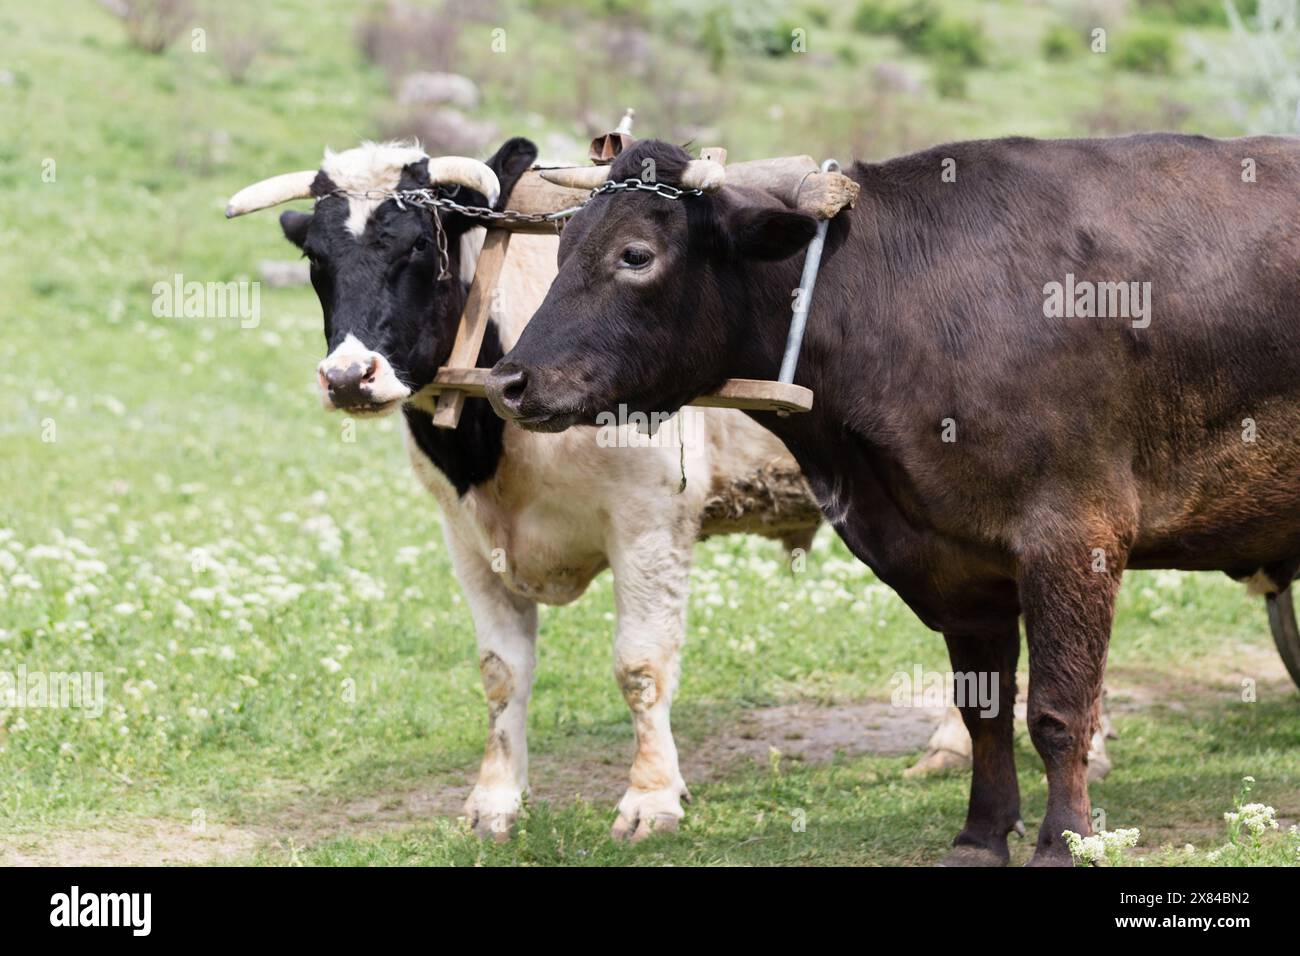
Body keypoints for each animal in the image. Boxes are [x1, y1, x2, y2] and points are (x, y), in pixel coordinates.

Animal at [225, 138, 824, 842]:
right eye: (315, 257)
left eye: (418, 245)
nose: (348, 377)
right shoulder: (464, 538)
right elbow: (501, 671)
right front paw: (496, 798)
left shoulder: (650, 522)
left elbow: (641, 666)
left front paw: (650, 798)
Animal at [486, 135, 1300, 865]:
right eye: (559, 251)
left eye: (635, 255)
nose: (510, 381)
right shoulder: (956, 559)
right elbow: (983, 711)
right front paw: (979, 837)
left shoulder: (1075, 532)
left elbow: (1058, 712)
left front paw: (1063, 843)